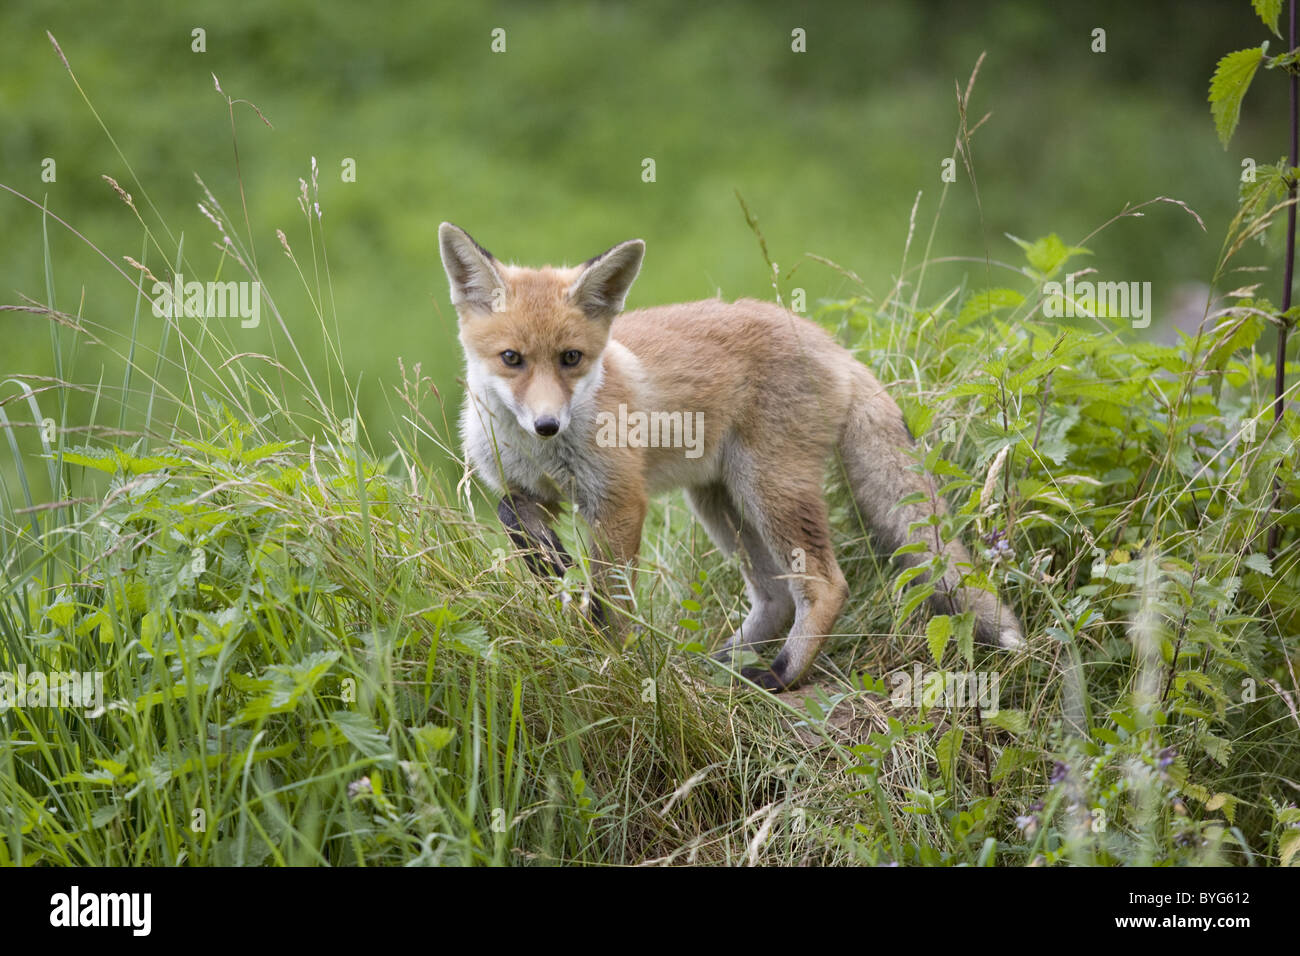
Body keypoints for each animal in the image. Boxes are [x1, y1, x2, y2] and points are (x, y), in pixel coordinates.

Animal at [439, 222, 1024, 692]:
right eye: (511, 359)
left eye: (570, 358)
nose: (547, 424)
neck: (540, 451)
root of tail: (831, 344)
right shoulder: (530, 489)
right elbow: (511, 515)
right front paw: (552, 564)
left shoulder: (620, 499)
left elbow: (614, 600)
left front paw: (613, 658)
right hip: (718, 500)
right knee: (775, 597)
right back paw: (716, 663)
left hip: (768, 489)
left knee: (824, 585)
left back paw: (781, 674)